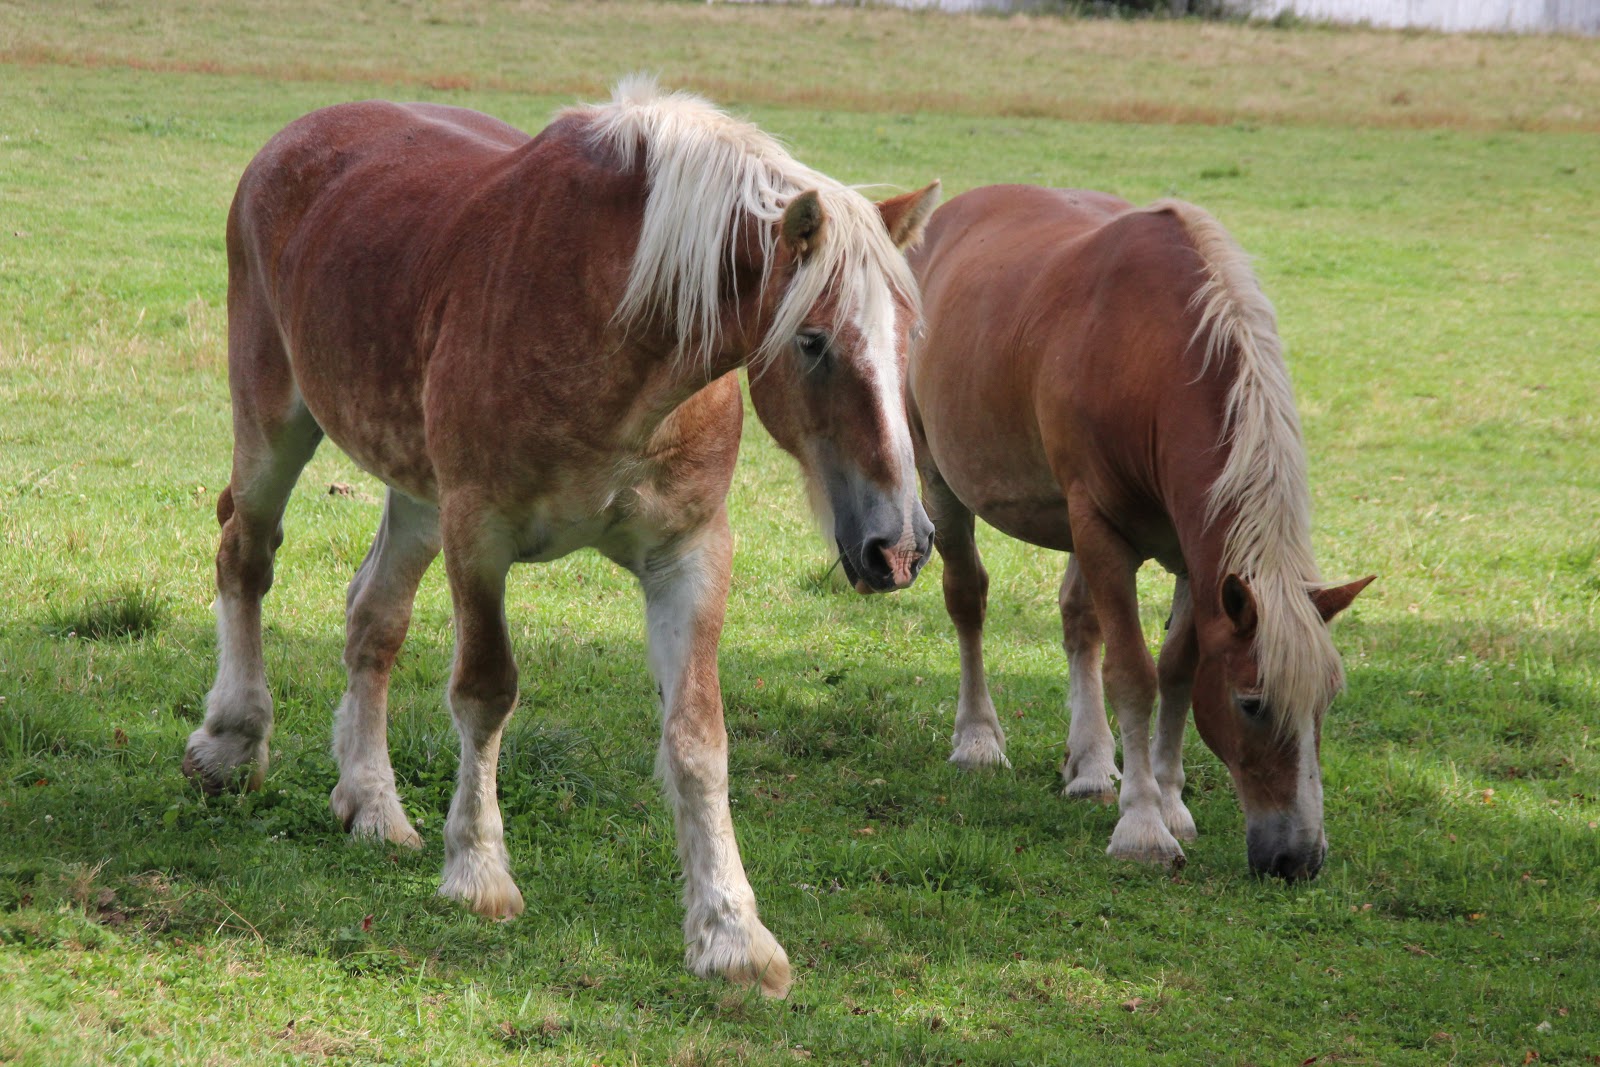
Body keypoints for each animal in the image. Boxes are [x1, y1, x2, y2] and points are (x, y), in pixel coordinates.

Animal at [180, 77, 941, 996]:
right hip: (276, 422)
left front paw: (731, 932)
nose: (899, 545)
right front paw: (478, 871)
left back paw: (372, 802)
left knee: (373, 619)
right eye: (814, 340)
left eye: (910, 336)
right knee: (245, 555)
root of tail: (294, 139)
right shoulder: (480, 531)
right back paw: (231, 740)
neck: (619, 324)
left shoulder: (689, 553)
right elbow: (486, 690)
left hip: (417, 490)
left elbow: (698, 736)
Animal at [905, 185, 1372, 880]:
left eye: (1328, 702)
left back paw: (1092, 765)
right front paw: (1144, 828)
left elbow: (1177, 671)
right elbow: (1132, 672)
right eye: (1252, 703)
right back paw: (978, 739)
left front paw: (1169, 800)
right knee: (968, 600)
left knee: (1078, 623)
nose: (1299, 860)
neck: (1149, 355)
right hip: (943, 478)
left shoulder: (1193, 560)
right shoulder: (1101, 529)